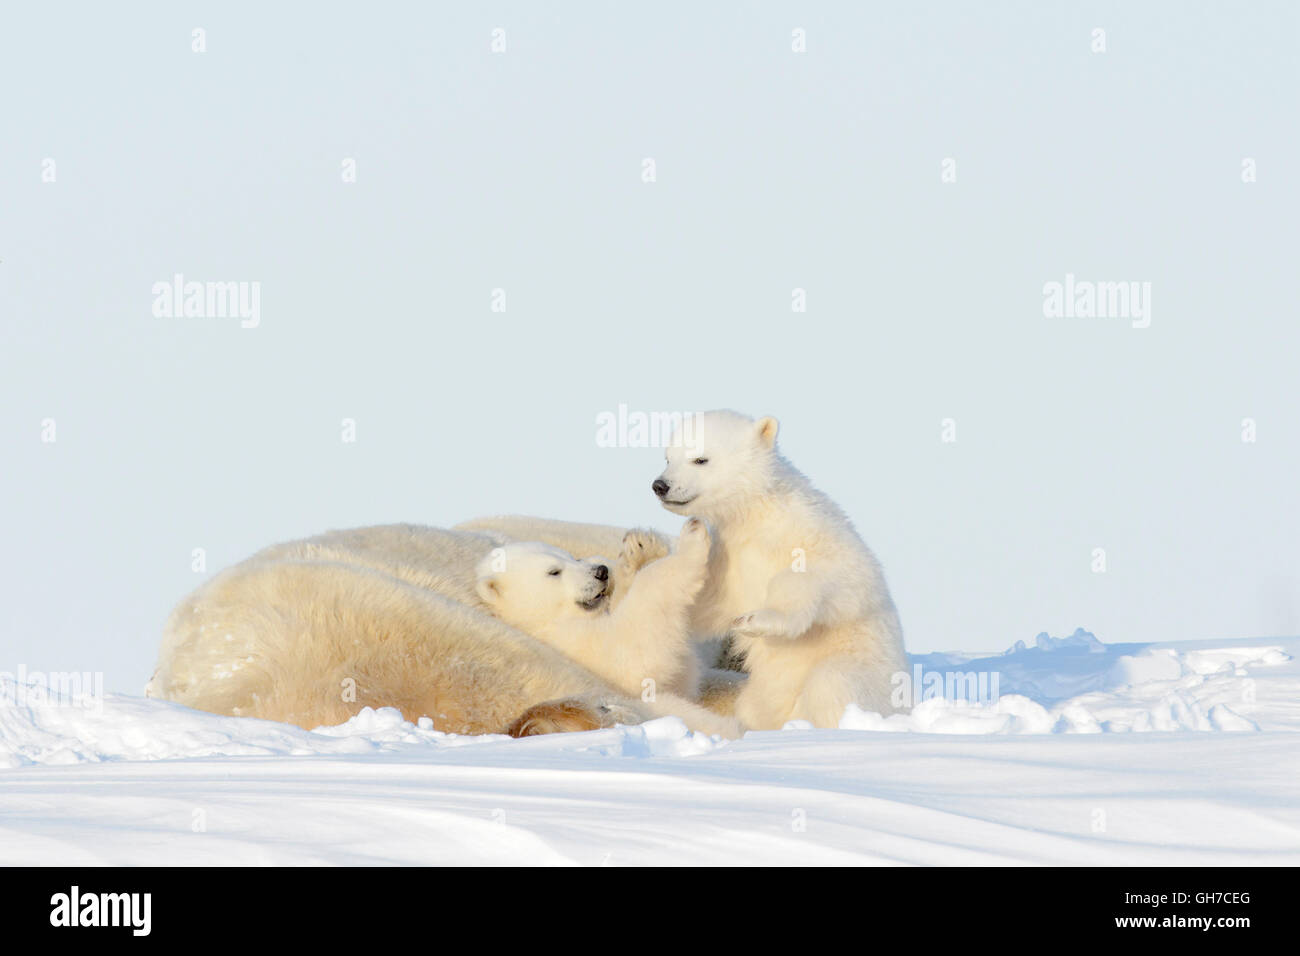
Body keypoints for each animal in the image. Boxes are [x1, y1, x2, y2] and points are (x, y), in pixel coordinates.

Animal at [652, 409, 907, 729]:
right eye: (668, 457)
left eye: (700, 459)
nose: (660, 485)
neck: (756, 513)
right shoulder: (732, 557)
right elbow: (711, 602)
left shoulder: (809, 529)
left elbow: (836, 577)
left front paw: (756, 620)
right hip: (759, 694)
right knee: (751, 705)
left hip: (865, 668)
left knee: (832, 682)